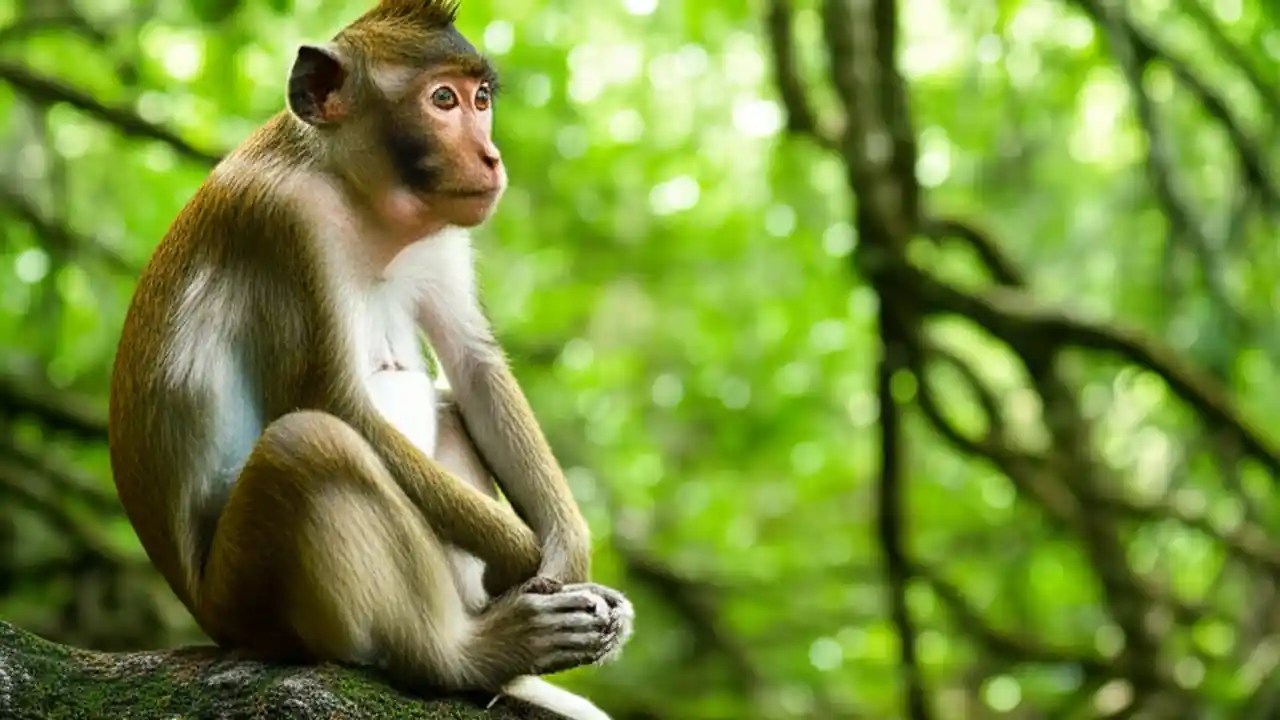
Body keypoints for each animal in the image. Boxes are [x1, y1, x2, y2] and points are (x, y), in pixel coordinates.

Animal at [106, 1, 633, 717]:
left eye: (481, 99)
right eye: (442, 100)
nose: (491, 156)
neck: (356, 192)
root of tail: (204, 615)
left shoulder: (442, 227)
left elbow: (475, 367)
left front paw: (566, 553)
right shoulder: (282, 222)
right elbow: (333, 401)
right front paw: (527, 561)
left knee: (441, 408)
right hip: (247, 602)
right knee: (310, 444)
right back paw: (462, 655)